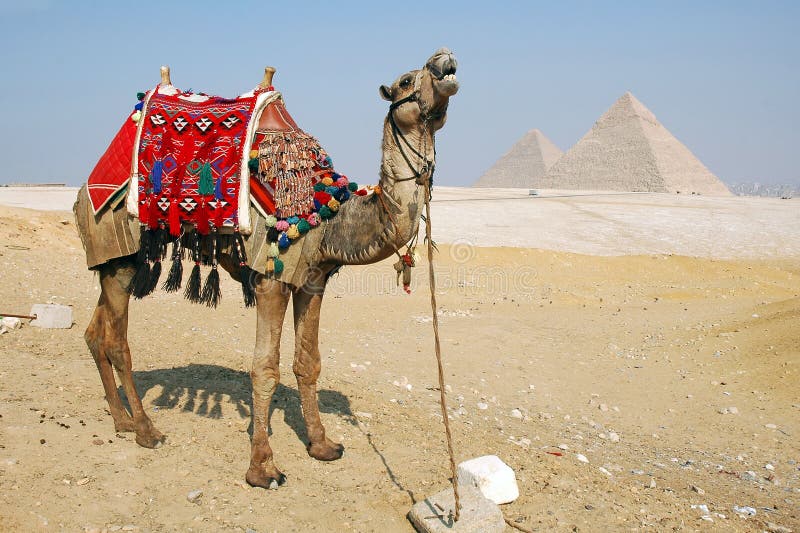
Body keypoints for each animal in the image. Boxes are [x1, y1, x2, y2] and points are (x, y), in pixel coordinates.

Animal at [75, 48, 458, 489]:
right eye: (406, 80)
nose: (445, 60)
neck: (329, 217)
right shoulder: (270, 278)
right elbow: (265, 368)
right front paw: (263, 466)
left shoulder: (312, 280)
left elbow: (308, 363)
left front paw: (323, 445)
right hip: (118, 244)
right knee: (118, 341)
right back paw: (146, 430)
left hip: (111, 259)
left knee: (95, 331)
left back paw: (121, 420)